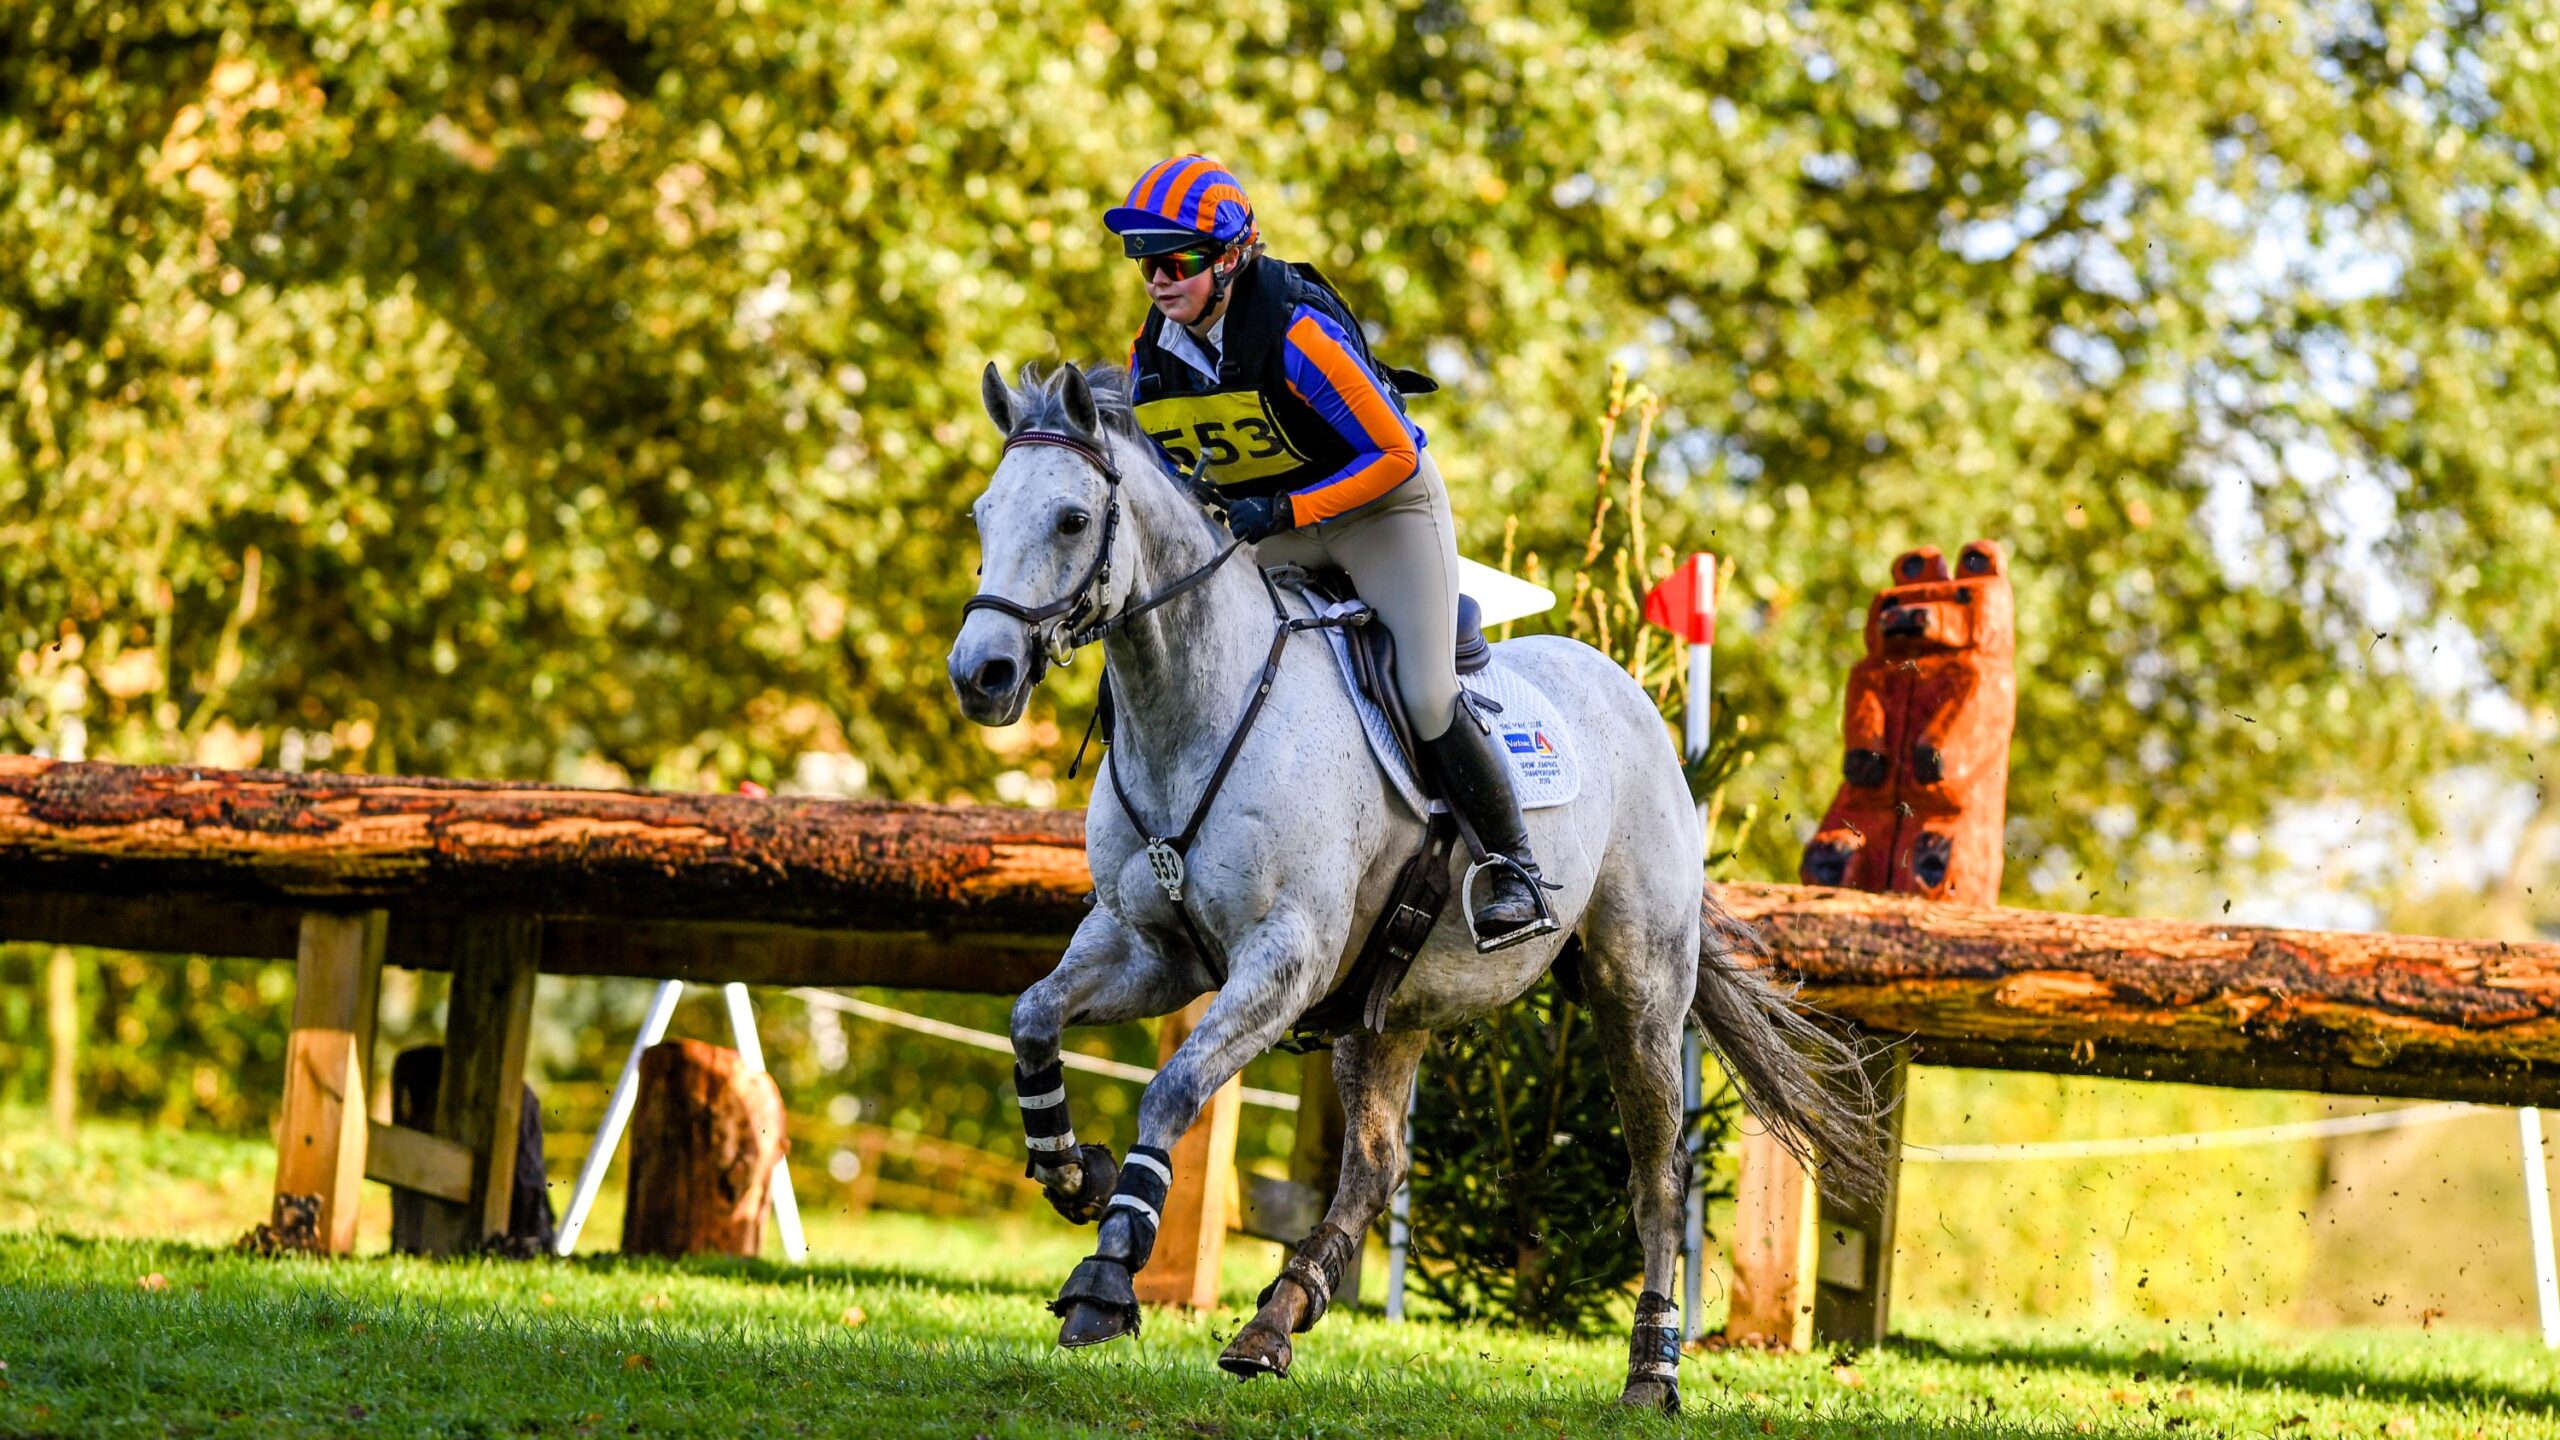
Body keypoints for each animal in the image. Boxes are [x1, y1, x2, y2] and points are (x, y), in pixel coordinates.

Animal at [952, 361, 1894, 1414]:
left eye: (1073, 519)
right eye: (985, 513)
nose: (981, 675)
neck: (1197, 710)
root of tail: (1632, 697)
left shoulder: (1281, 961)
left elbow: (1174, 1087)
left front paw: (1107, 1275)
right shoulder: (1145, 946)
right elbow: (1033, 1018)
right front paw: (1073, 1173)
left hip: (1638, 989)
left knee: (1658, 1171)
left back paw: (1652, 1369)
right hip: (1390, 1002)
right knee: (1374, 1165)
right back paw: (1272, 1325)